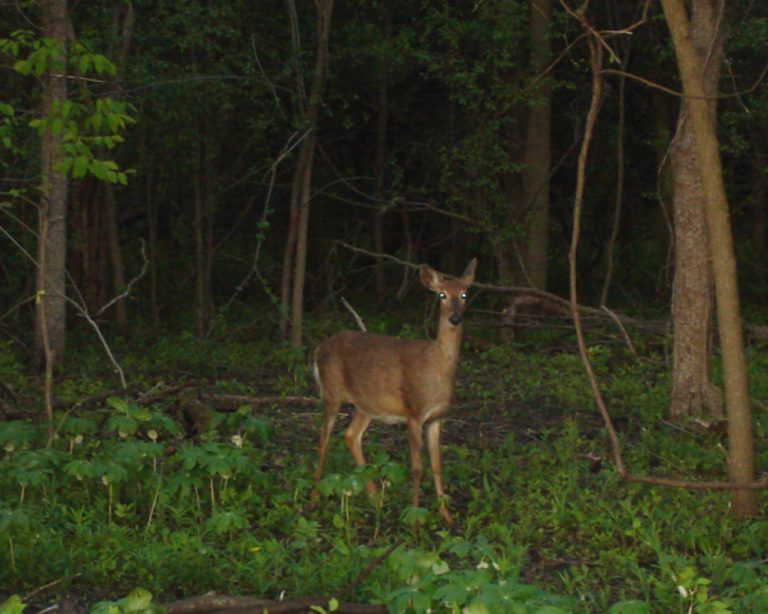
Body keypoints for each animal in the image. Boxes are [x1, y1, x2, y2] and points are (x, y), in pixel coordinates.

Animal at [312, 258, 477, 524]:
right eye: (441, 294)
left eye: (464, 294)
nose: (454, 318)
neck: (436, 368)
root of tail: (318, 348)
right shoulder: (413, 411)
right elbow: (417, 468)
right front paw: (415, 519)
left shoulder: (436, 417)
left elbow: (437, 464)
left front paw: (446, 515)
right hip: (331, 392)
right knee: (323, 439)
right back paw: (315, 496)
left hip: (366, 404)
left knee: (351, 435)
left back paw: (376, 499)